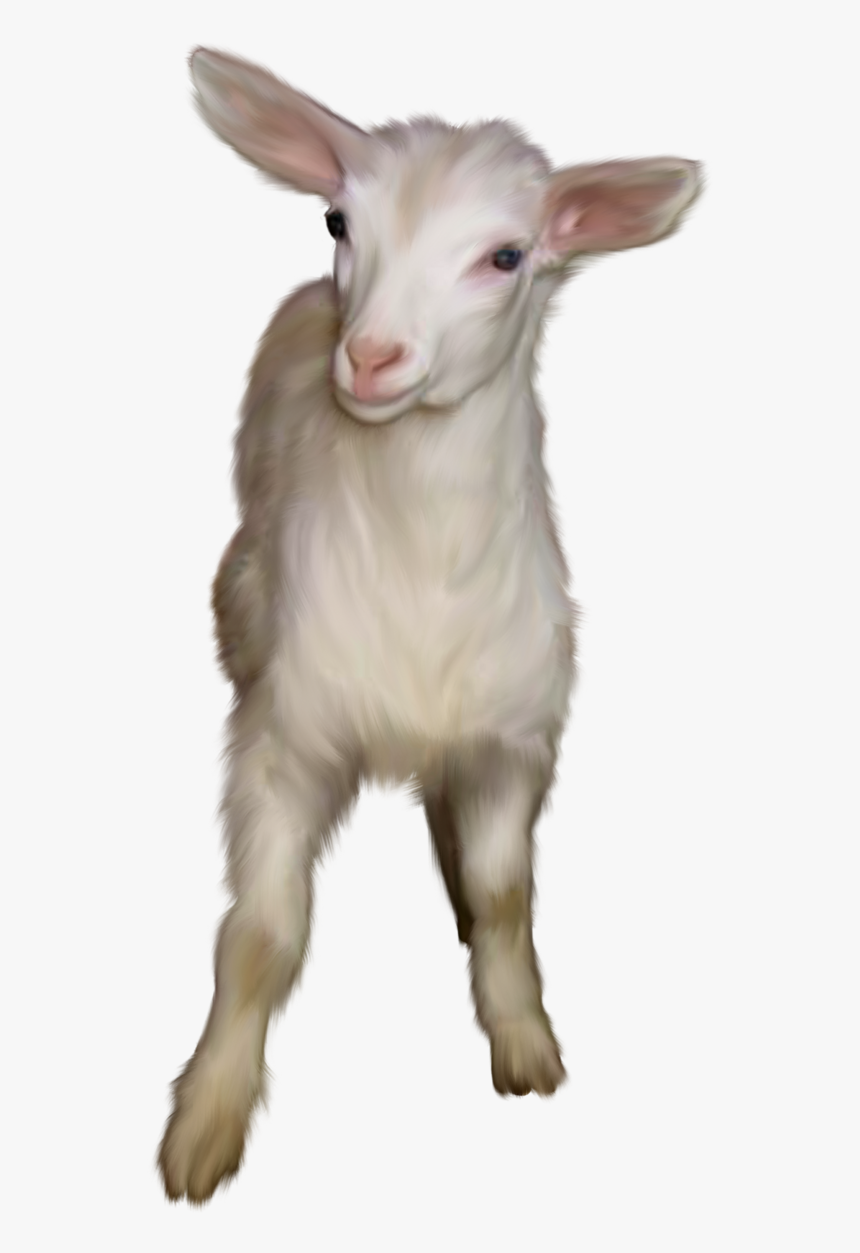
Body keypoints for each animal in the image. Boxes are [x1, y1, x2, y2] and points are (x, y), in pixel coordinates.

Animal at [157, 47, 701, 1204]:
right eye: (336, 221)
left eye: (506, 255)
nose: (369, 358)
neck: (423, 583)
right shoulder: (286, 738)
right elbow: (261, 933)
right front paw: (205, 1123)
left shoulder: (514, 735)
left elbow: (504, 893)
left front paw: (525, 1038)